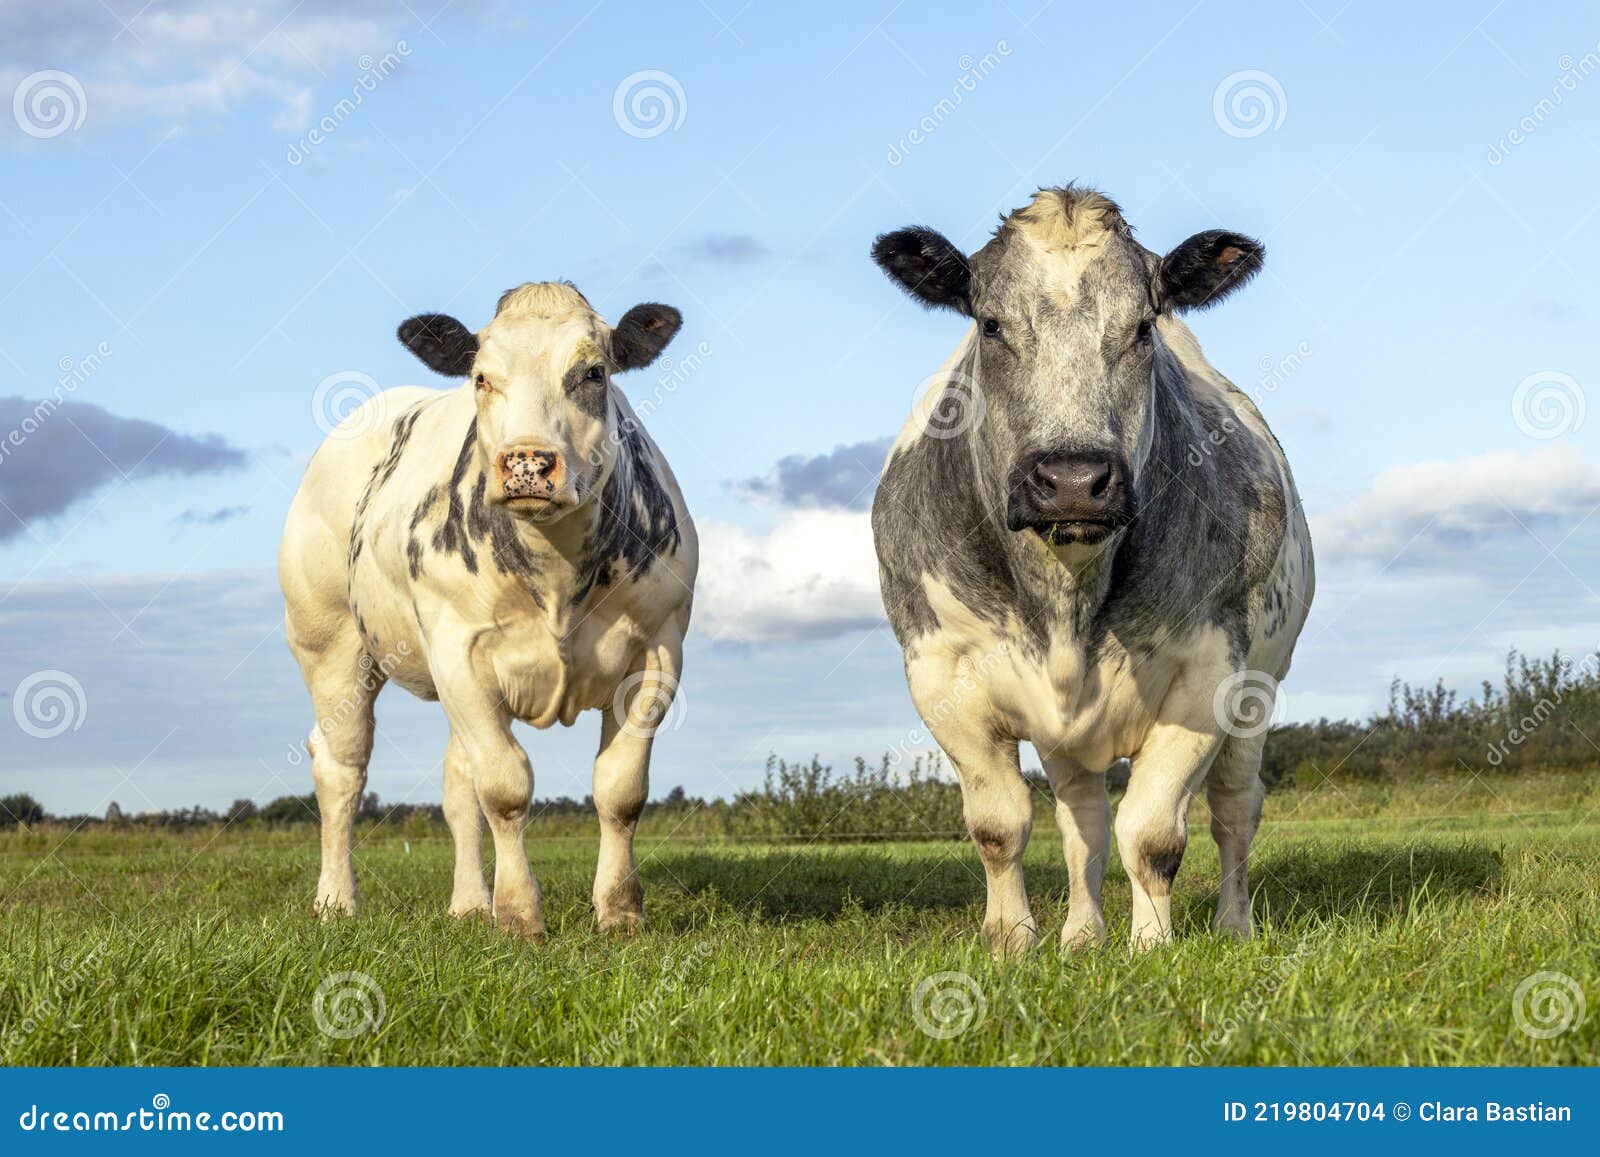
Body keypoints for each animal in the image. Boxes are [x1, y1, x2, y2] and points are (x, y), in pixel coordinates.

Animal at [279, 281, 696, 937]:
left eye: (594, 372)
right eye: (481, 376)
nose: (527, 463)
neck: (556, 571)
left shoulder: (659, 648)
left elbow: (619, 790)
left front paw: (620, 912)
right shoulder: (459, 652)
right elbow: (504, 787)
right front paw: (520, 916)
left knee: (457, 782)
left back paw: (470, 904)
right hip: (329, 644)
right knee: (341, 768)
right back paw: (336, 902)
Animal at [869, 186, 1313, 955]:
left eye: (1141, 327)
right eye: (990, 324)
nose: (1074, 479)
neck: (1066, 593)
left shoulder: (1209, 673)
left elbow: (1155, 833)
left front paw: (1152, 947)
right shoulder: (939, 671)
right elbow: (1001, 825)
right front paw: (1014, 941)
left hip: (1262, 685)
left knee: (1234, 808)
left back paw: (1232, 926)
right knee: (1084, 821)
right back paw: (1080, 934)